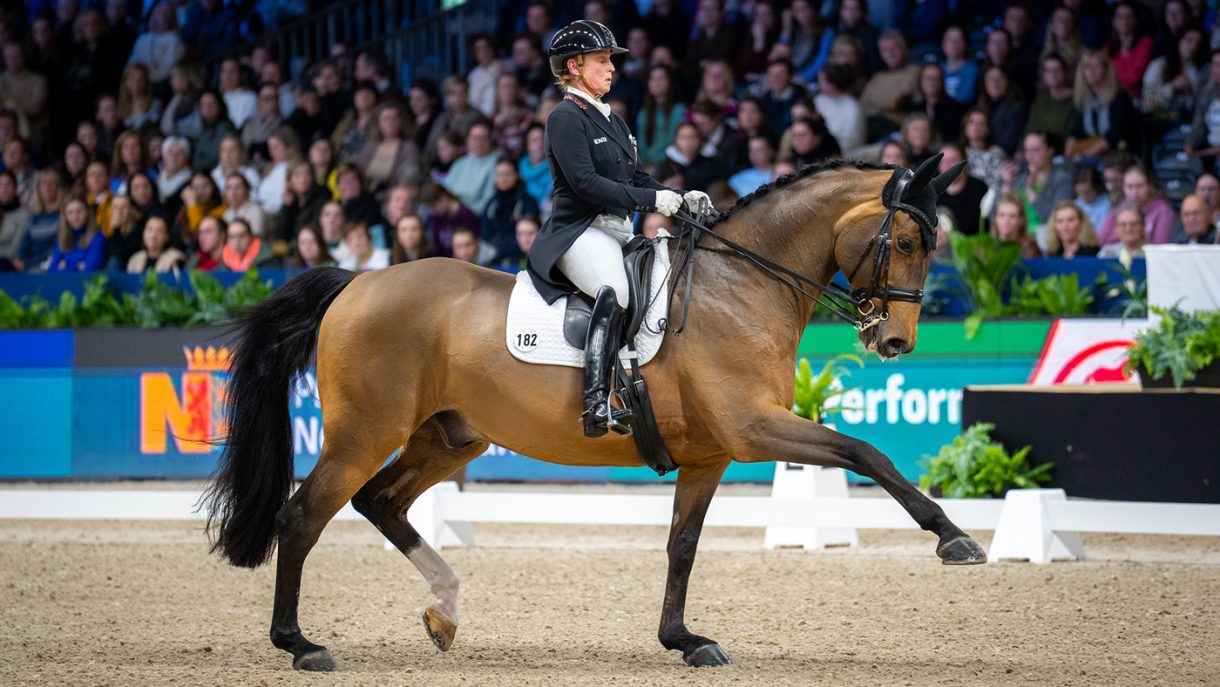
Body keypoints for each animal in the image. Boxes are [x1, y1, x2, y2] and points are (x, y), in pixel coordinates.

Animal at [204, 156, 986, 672]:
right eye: (907, 241)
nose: (895, 341)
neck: (742, 284)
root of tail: (356, 283)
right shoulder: (753, 428)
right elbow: (865, 452)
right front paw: (955, 539)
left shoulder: (710, 455)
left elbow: (681, 546)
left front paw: (685, 641)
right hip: (365, 433)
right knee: (303, 517)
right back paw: (300, 644)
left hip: (448, 437)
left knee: (380, 502)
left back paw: (445, 612)